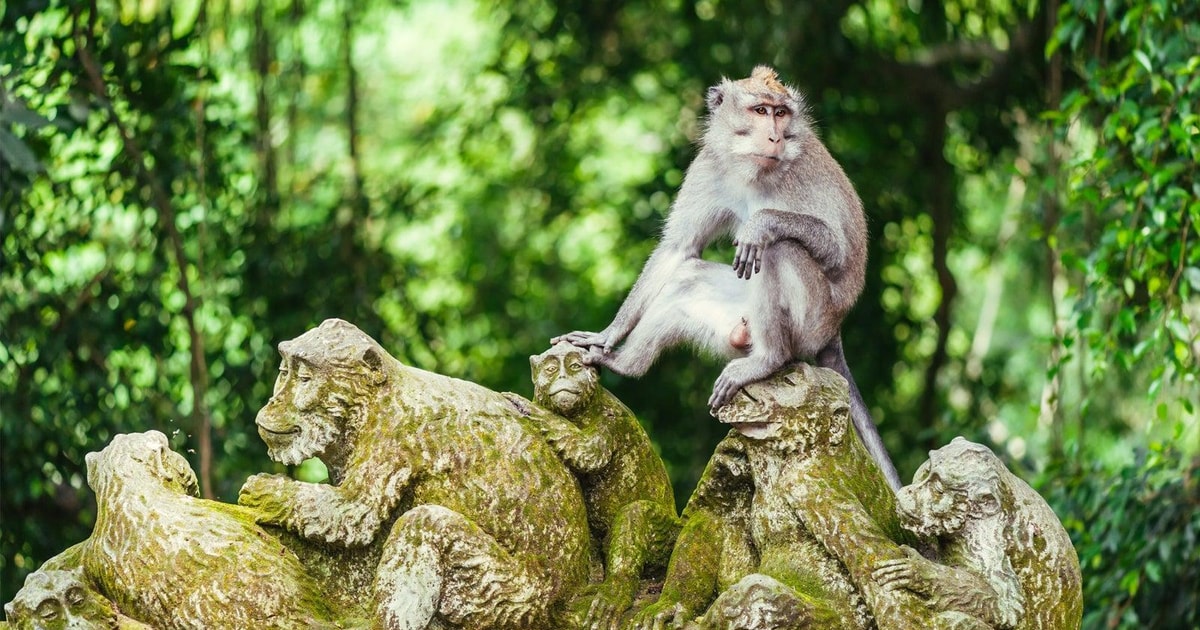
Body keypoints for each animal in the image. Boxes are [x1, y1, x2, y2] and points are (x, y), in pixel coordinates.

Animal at [554, 66, 902, 491]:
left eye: (781, 113)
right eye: (760, 110)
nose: (774, 135)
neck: (754, 169)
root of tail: (834, 331)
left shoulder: (801, 173)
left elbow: (837, 252)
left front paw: (761, 223)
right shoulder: (709, 167)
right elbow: (678, 250)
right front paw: (607, 334)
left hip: (812, 322)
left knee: (779, 250)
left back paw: (769, 358)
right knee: (687, 278)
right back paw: (624, 364)